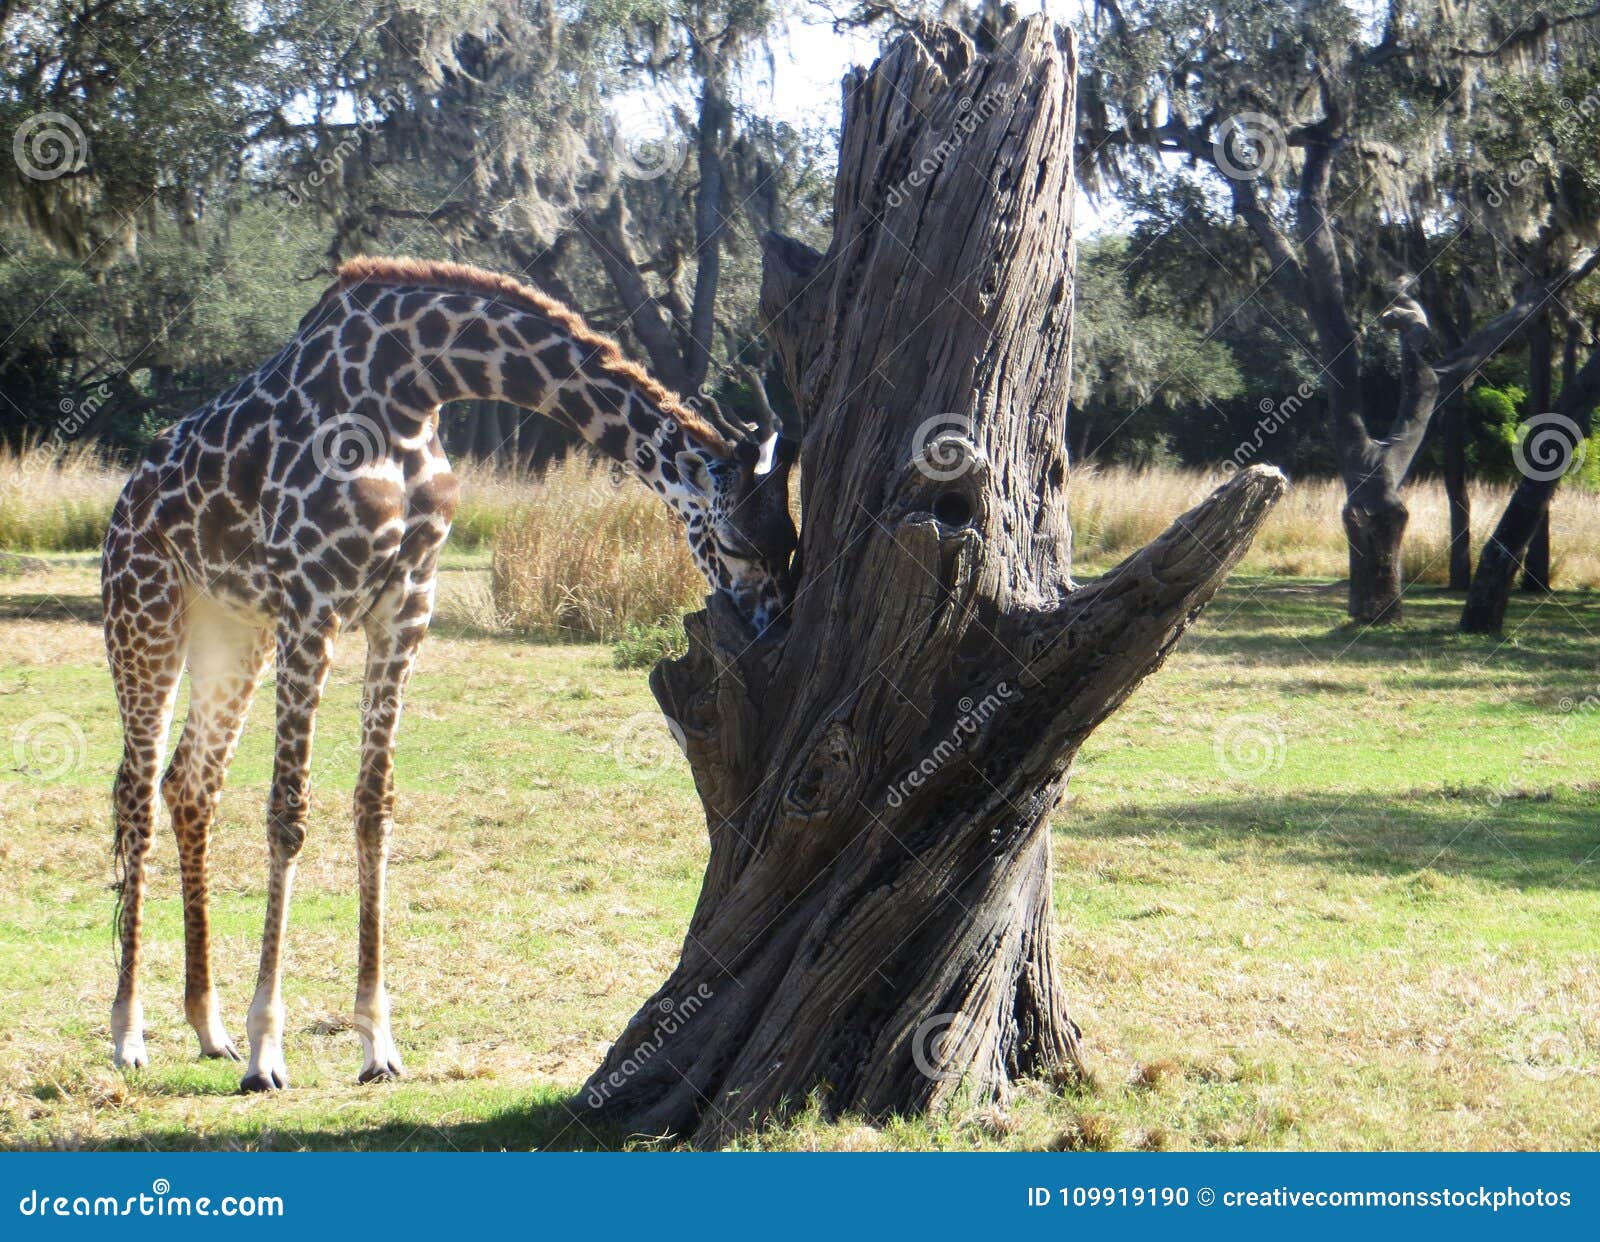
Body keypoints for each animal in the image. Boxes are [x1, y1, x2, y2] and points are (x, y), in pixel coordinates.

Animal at [102, 256, 798, 1091]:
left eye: (791, 541)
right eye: (734, 541)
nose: (773, 626)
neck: (411, 385)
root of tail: (121, 506)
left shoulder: (406, 606)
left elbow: (374, 806)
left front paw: (377, 1043)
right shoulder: (313, 601)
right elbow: (288, 813)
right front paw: (269, 1051)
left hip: (233, 634)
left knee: (189, 785)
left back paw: (207, 1028)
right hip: (146, 614)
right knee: (135, 794)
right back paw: (128, 1036)